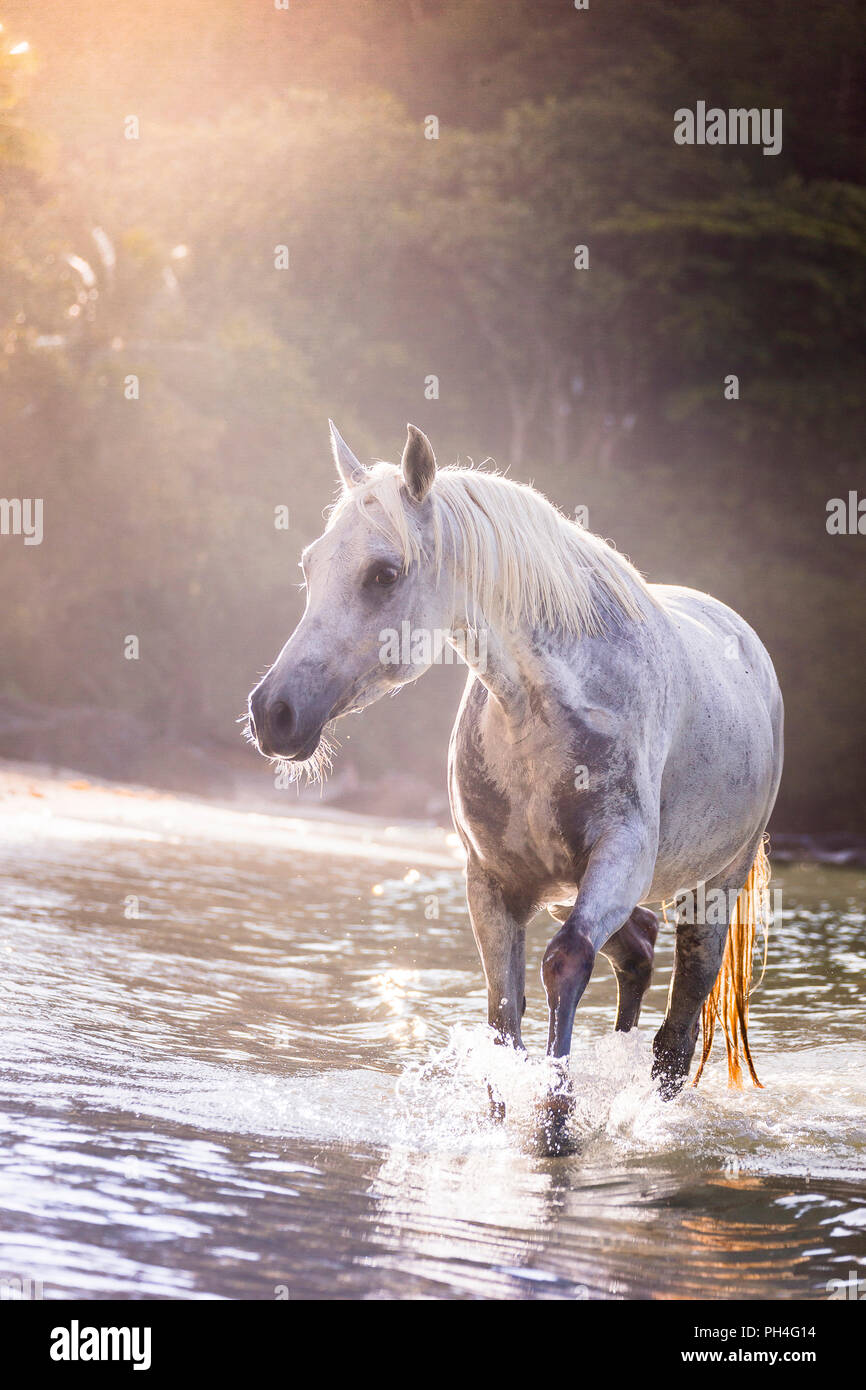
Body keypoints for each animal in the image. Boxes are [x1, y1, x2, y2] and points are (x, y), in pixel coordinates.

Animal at [247, 422, 784, 1150]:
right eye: (309, 566)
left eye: (384, 574)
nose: (273, 713)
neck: (541, 707)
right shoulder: (494, 881)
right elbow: (503, 1011)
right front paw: (506, 1113)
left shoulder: (619, 855)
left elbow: (565, 965)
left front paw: (556, 1118)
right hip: (581, 893)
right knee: (637, 954)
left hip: (710, 892)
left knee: (675, 1035)